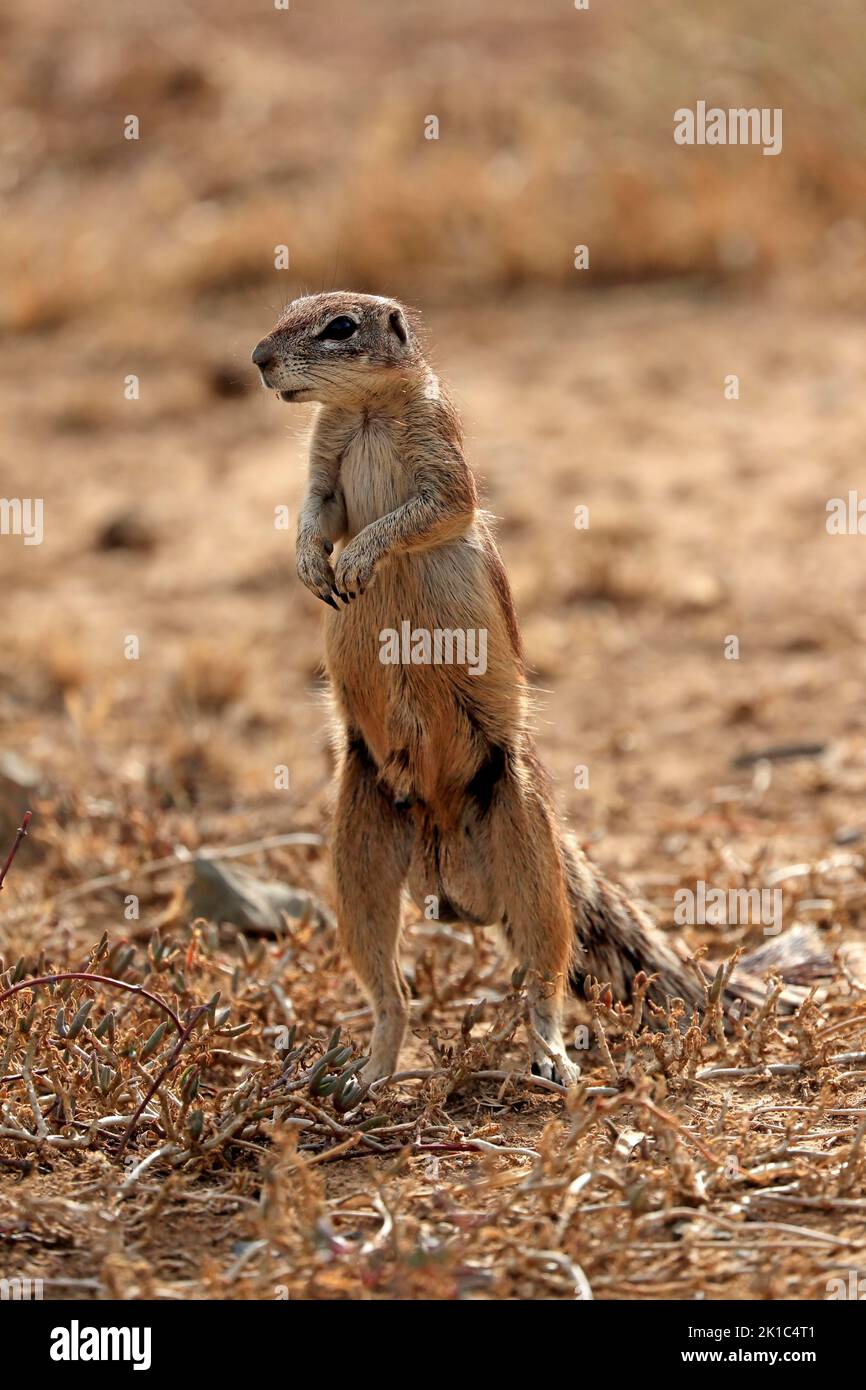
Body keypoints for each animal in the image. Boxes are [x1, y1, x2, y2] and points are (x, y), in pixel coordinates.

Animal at [251, 292, 782, 1085]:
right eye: (287, 307)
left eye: (338, 327)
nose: (257, 359)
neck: (366, 411)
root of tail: (445, 863)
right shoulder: (322, 464)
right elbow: (316, 512)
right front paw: (313, 565)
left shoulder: (443, 462)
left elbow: (428, 511)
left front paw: (360, 559)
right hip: (357, 851)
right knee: (388, 988)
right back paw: (368, 1074)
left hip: (525, 845)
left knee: (544, 975)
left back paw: (551, 1059)